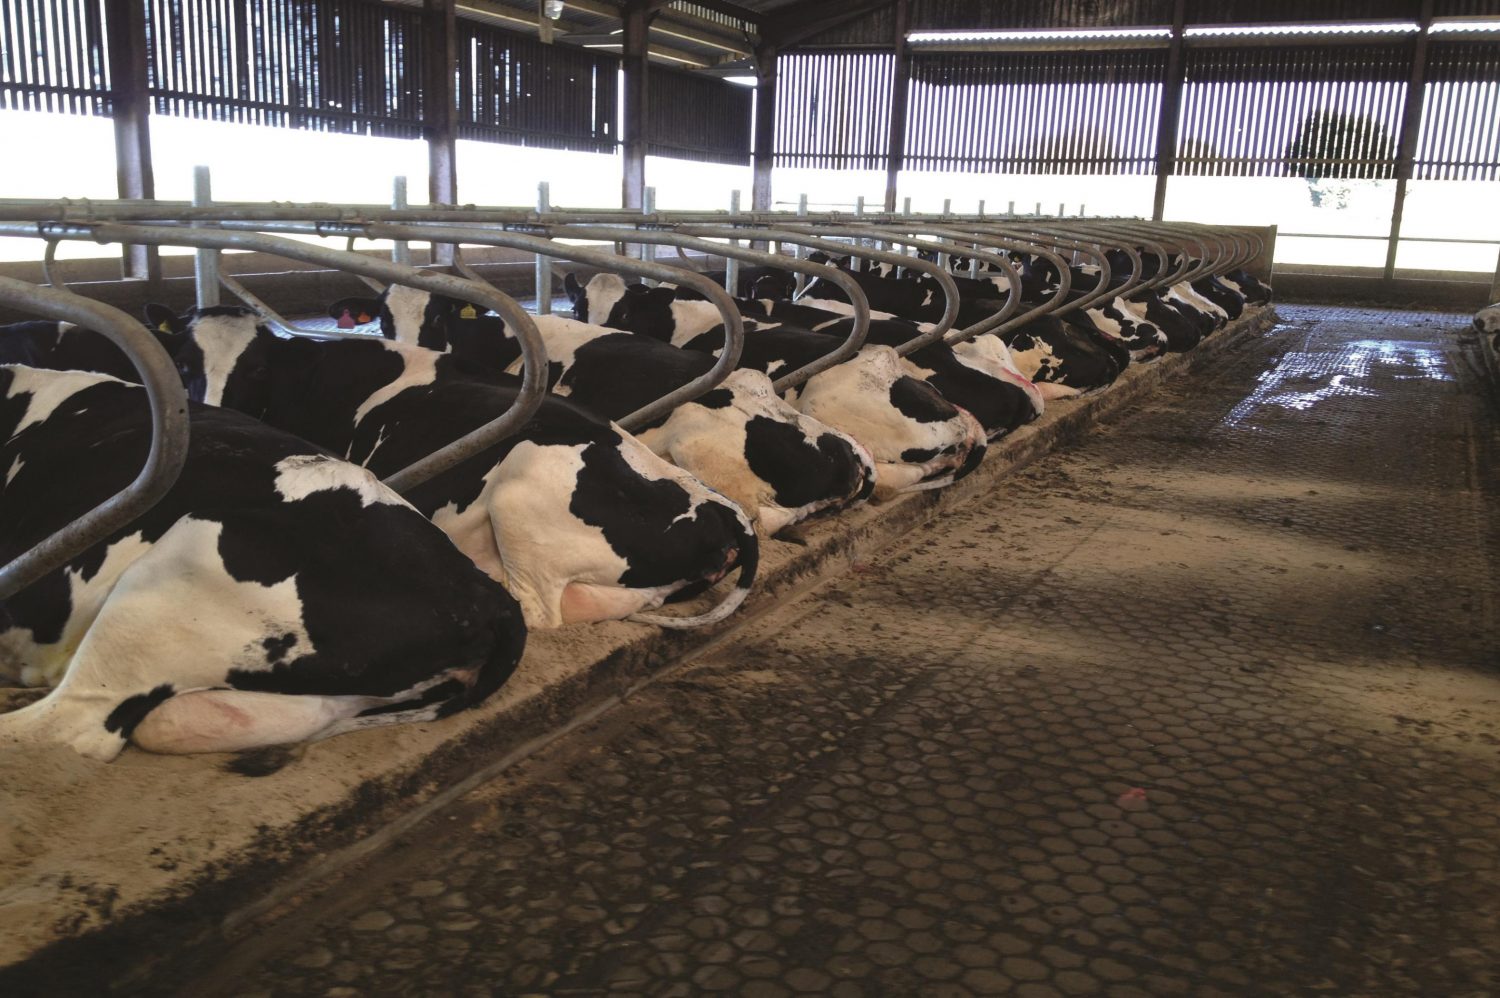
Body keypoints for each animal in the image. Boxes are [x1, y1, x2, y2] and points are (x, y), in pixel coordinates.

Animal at [153, 305, 758, 631]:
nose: (215, 408)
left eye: (256, 367)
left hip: (516, 500)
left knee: (539, 612)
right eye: (181, 362)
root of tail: (718, 510)